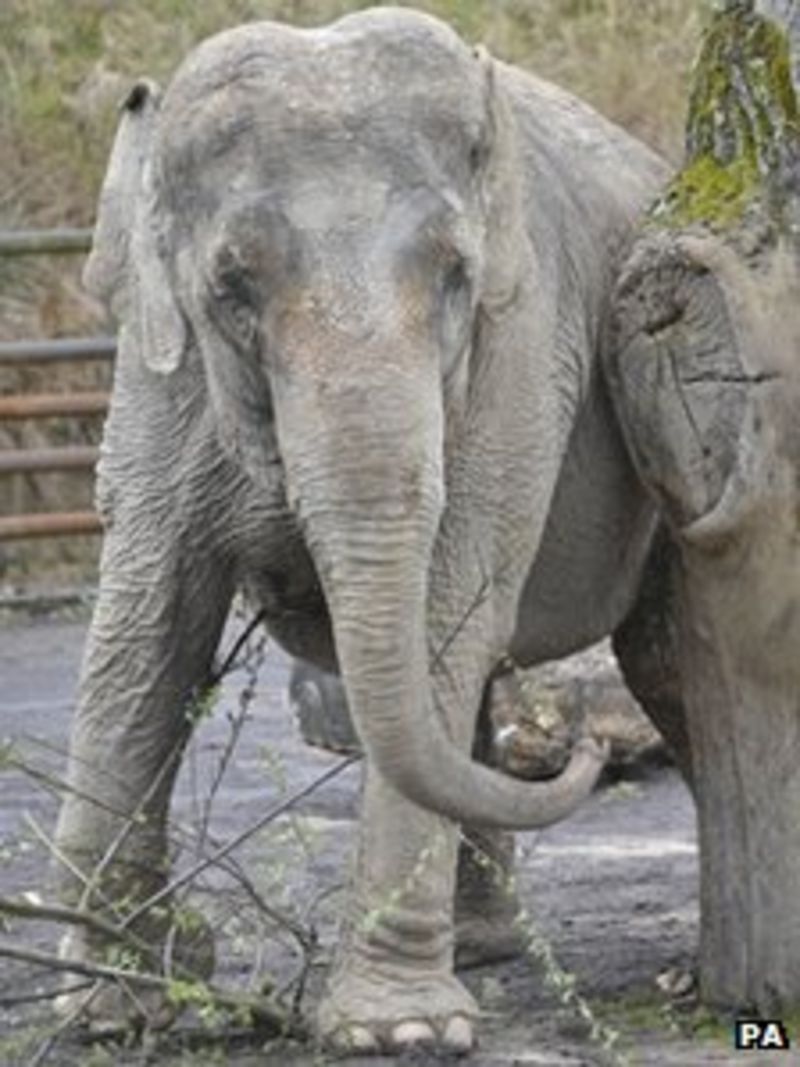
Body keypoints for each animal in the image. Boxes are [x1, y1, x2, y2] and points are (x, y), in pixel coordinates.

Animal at [52, 7, 673, 1055]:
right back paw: (481, 945)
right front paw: (115, 1006)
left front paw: (401, 1035)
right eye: (231, 288)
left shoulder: (517, 352)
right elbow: (147, 619)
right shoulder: (155, 367)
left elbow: (443, 611)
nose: (589, 748)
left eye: (457, 275)